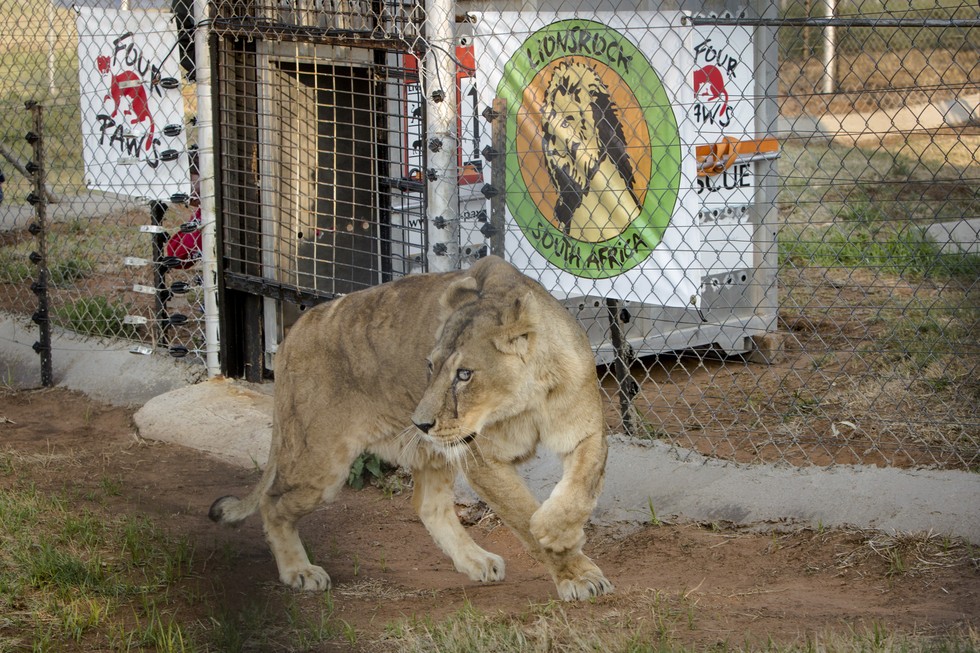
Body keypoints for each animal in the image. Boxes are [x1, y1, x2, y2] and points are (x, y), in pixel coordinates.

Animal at [209, 255, 613, 601]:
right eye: (430, 366)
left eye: (464, 374)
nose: (419, 423)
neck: (523, 402)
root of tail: (297, 328)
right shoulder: (481, 458)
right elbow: (521, 512)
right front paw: (574, 571)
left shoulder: (586, 432)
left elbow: (582, 485)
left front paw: (558, 532)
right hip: (320, 465)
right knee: (272, 502)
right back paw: (299, 571)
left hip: (429, 453)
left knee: (428, 506)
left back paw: (476, 560)